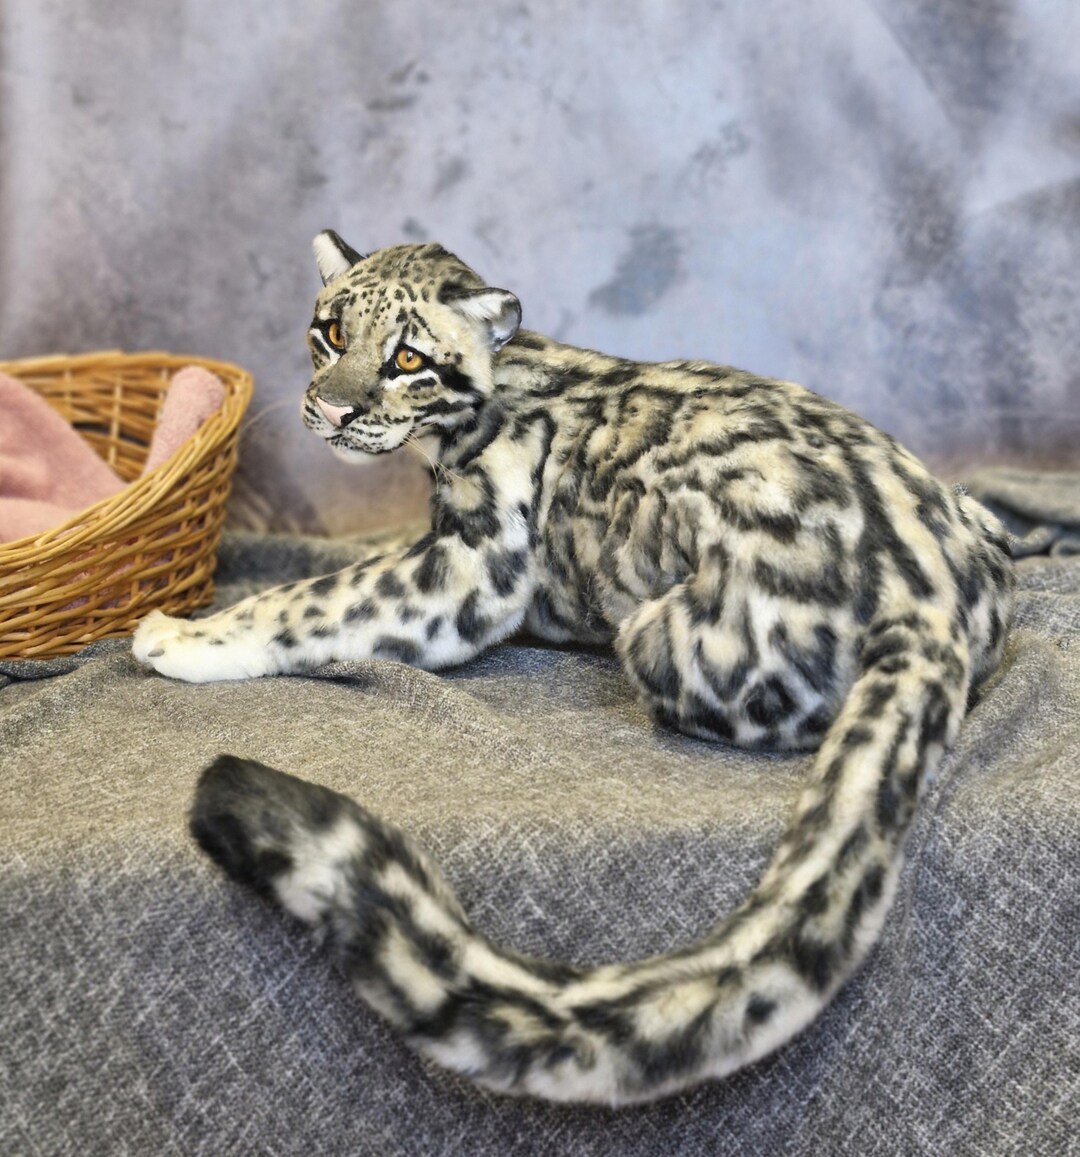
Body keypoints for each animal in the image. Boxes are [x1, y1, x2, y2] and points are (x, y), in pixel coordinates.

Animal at [135, 232, 1014, 1105]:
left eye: (409, 357)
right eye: (332, 331)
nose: (331, 409)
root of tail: (935, 594)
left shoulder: (466, 570)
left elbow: (317, 599)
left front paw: (177, 635)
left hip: (667, 639)